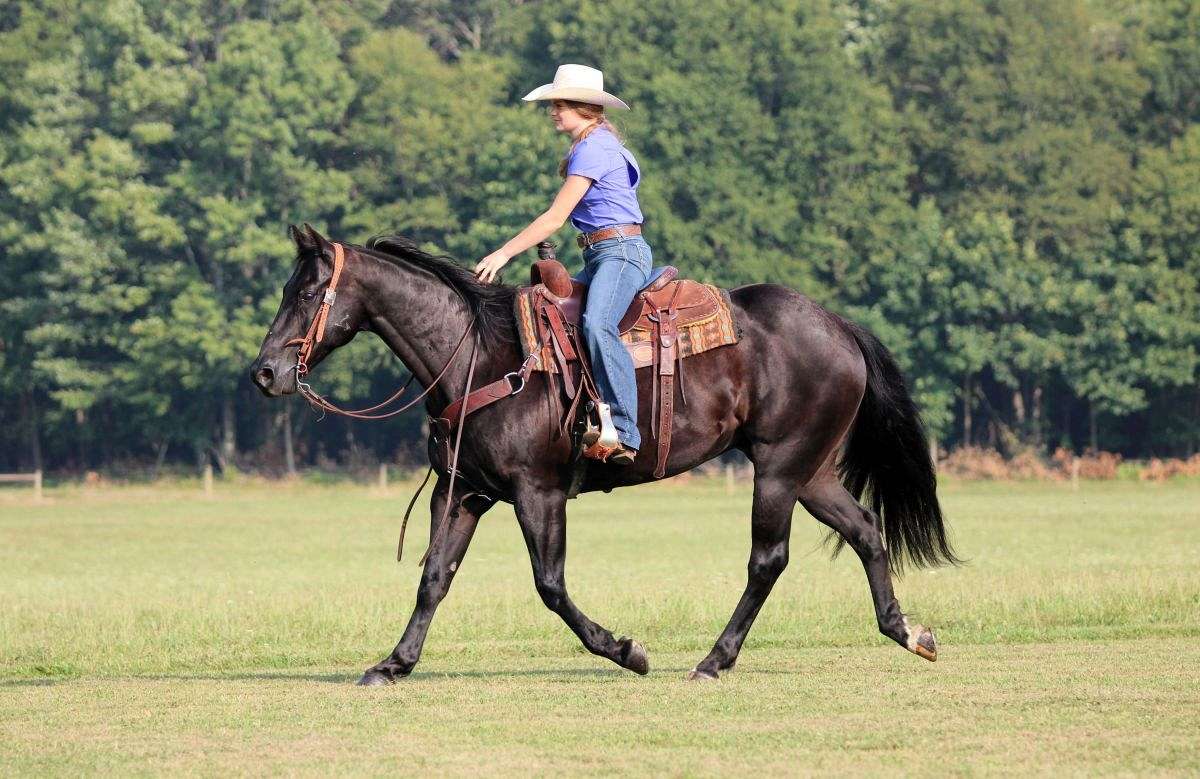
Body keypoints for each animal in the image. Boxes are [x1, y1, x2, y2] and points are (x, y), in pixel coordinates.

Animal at [249, 223, 960, 685]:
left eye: (306, 294)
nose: (265, 373)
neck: (482, 355)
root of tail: (838, 326)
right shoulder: (463, 492)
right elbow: (434, 579)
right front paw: (393, 664)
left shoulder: (537, 493)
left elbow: (550, 585)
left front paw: (626, 650)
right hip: (811, 471)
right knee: (866, 530)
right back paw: (908, 632)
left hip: (780, 469)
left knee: (768, 559)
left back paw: (713, 660)